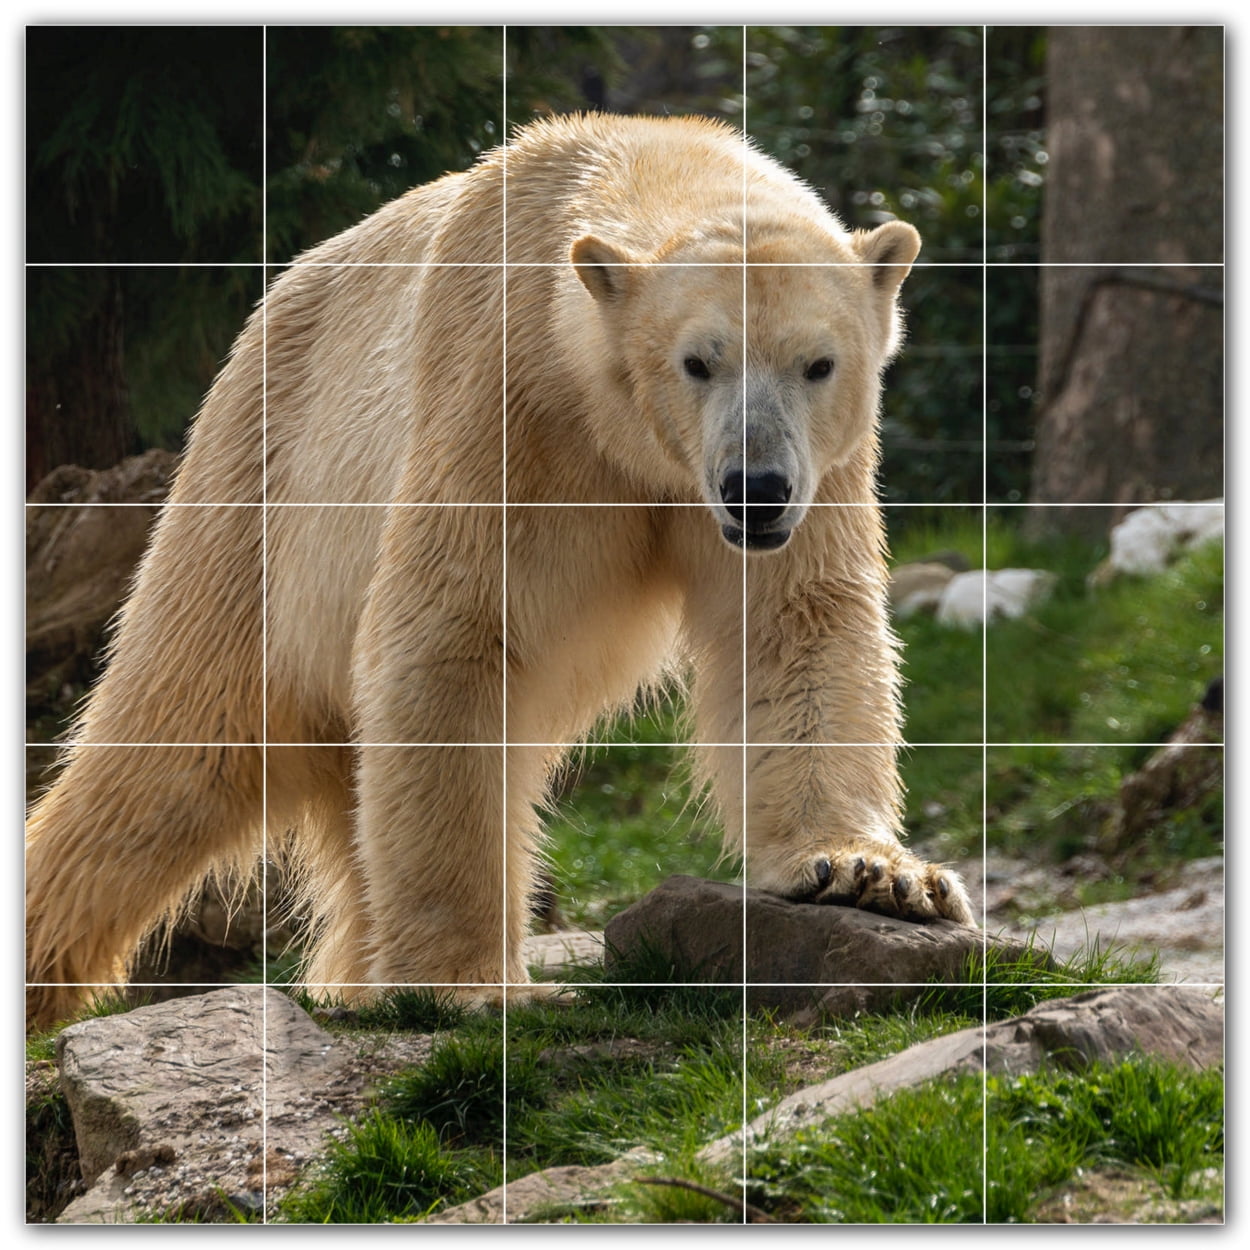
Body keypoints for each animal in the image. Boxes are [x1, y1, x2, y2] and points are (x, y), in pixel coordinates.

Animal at [25, 113, 974, 1028]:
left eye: (818, 364)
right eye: (697, 361)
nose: (757, 489)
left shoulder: (822, 473)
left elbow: (797, 623)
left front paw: (872, 873)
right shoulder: (508, 407)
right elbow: (450, 635)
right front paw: (470, 985)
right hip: (257, 492)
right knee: (170, 750)